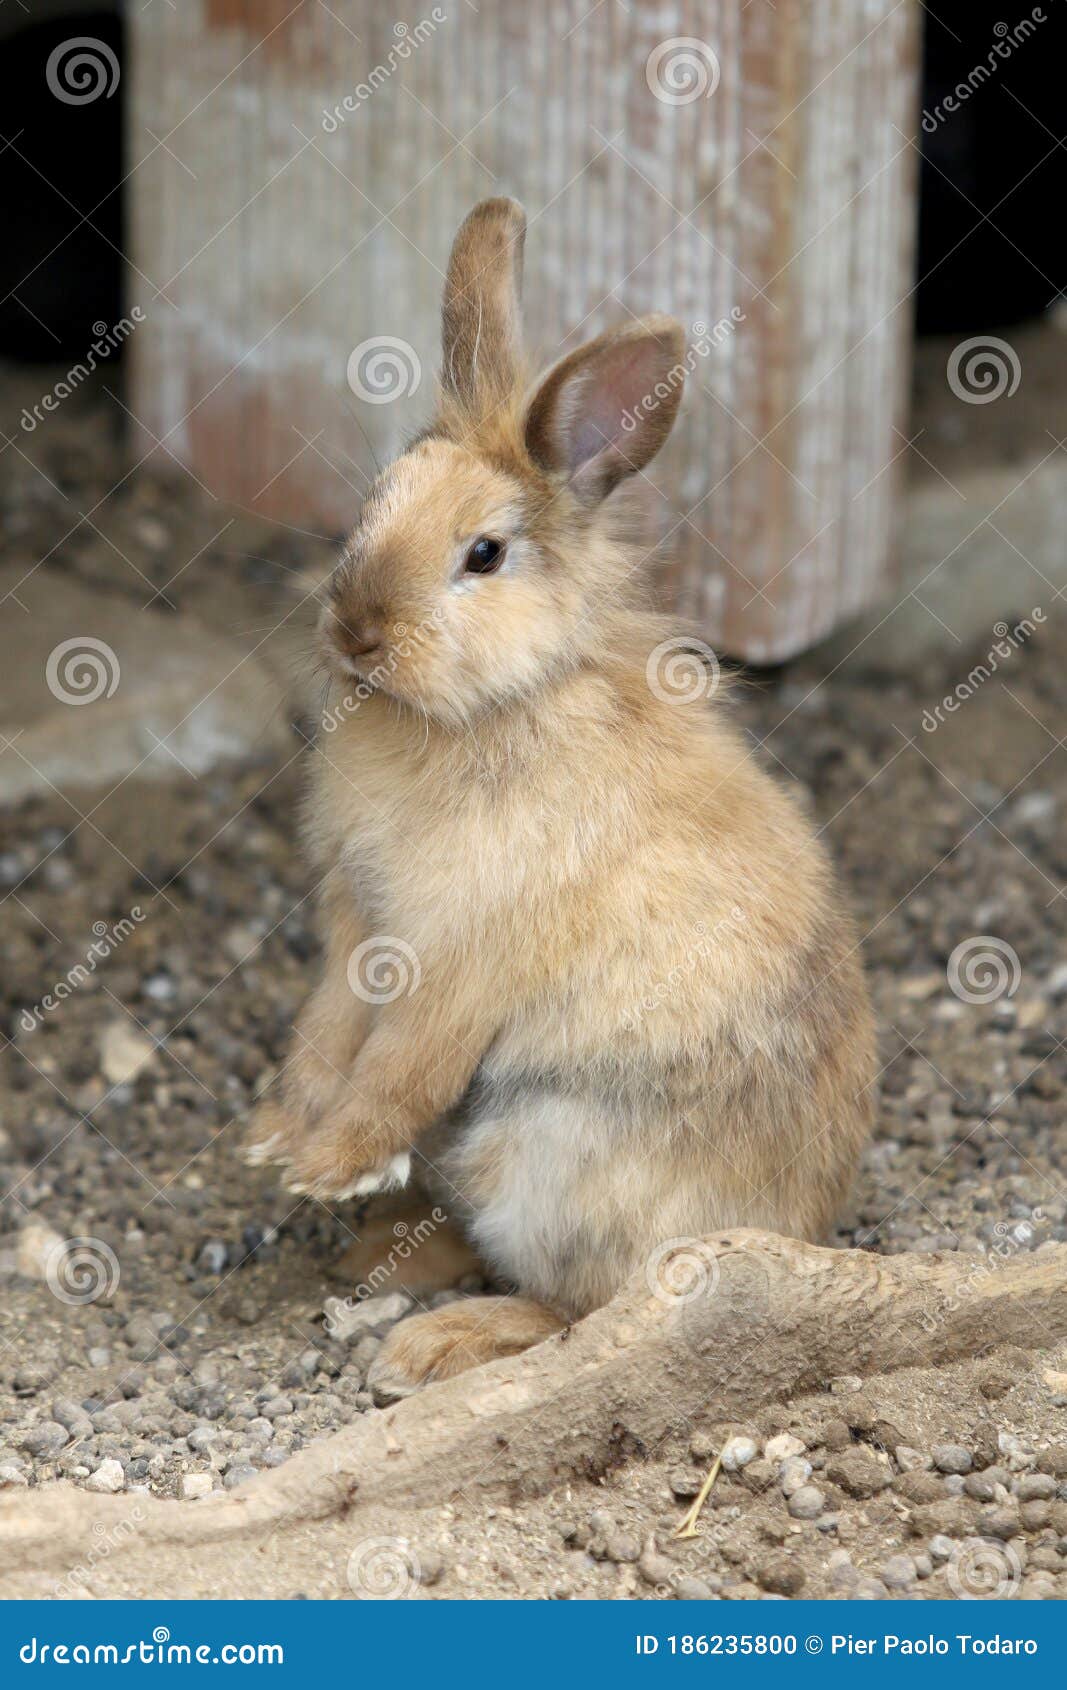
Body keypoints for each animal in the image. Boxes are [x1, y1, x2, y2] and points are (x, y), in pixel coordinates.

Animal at [244, 197, 876, 1400]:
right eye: (373, 503)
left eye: (484, 555)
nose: (354, 631)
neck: (492, 705)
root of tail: (790, 1229)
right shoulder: (356, 927)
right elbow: (325, 1029)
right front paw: (273, 1135)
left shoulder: (459, 961)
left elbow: (395, 1067)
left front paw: (325, 1166)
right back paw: (382, 1259)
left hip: (538, 1159)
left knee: (589, 1308)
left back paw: (431, 1344)